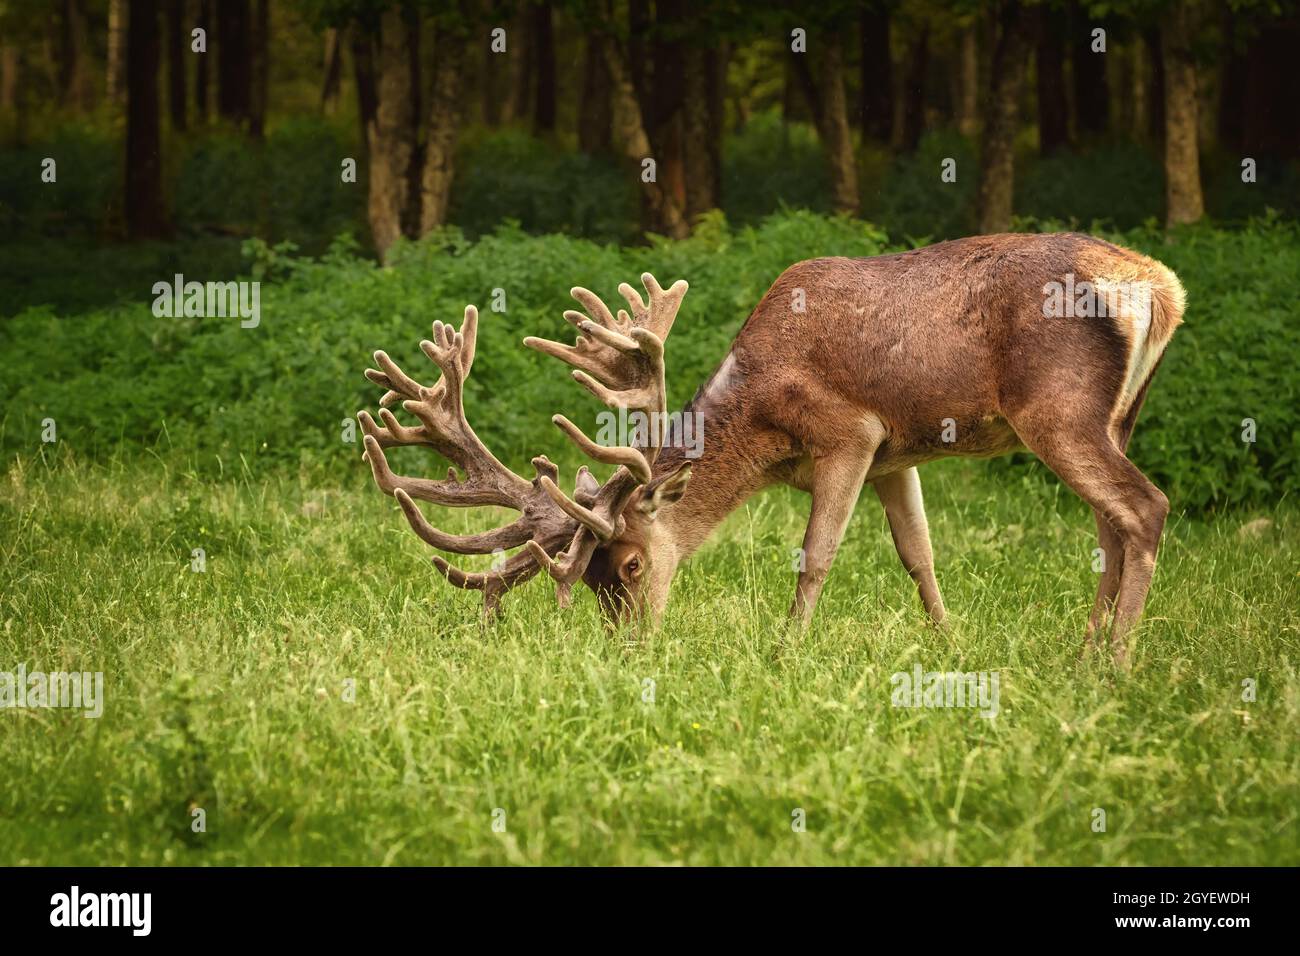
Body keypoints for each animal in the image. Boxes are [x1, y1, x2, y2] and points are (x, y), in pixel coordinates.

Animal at [358, 233, 1185, 663]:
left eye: (630, 566)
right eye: (589, 581)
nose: (629, 650)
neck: (759, 422)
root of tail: (1160, 287)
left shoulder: (852, 433)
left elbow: (816, 553)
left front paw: (787, 651)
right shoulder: (899, 455)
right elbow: (919, 554)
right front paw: (950, 644)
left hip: (1057, 408)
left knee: (1143, 507)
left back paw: (1113, 663)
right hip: (1119, 415)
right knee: (1111, 524)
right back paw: (1085, 648)